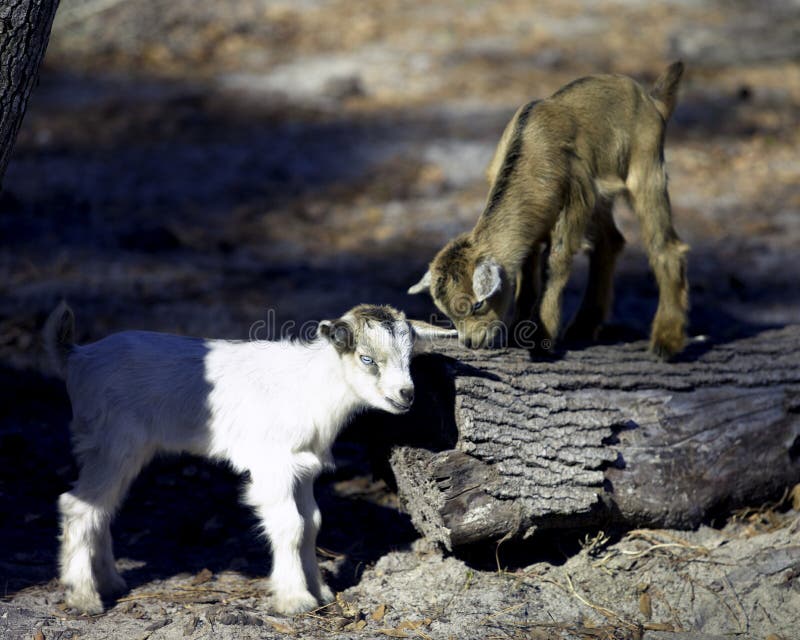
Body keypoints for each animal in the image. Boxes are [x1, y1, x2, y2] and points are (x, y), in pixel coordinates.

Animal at [43, 302, 455, 615]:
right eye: (367, 359)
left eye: (410, 358)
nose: (406, 395)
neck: (313, 387)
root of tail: (78, 357)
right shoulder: (273, 466)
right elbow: (290, 526)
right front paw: (296, 600)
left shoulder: (304, 468)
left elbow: (312, 523)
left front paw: (321, 591)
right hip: (113, 443)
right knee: (78, 506)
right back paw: (84, 597)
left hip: (119, 450)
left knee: (101, 508)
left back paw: (110, 581)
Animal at [409, 62, 689, 360]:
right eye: (447, 312)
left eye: (477, 304)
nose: (471, 342)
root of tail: (653, 101)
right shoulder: (536, 220)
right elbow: (525, 268)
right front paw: (518, 330)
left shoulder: (576, 202)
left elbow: (555, 263)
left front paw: (541, 338)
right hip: (602, 200)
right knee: (610, 242)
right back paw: (582, 327)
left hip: (647, 168)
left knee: (663, 245)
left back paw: (666, 342)